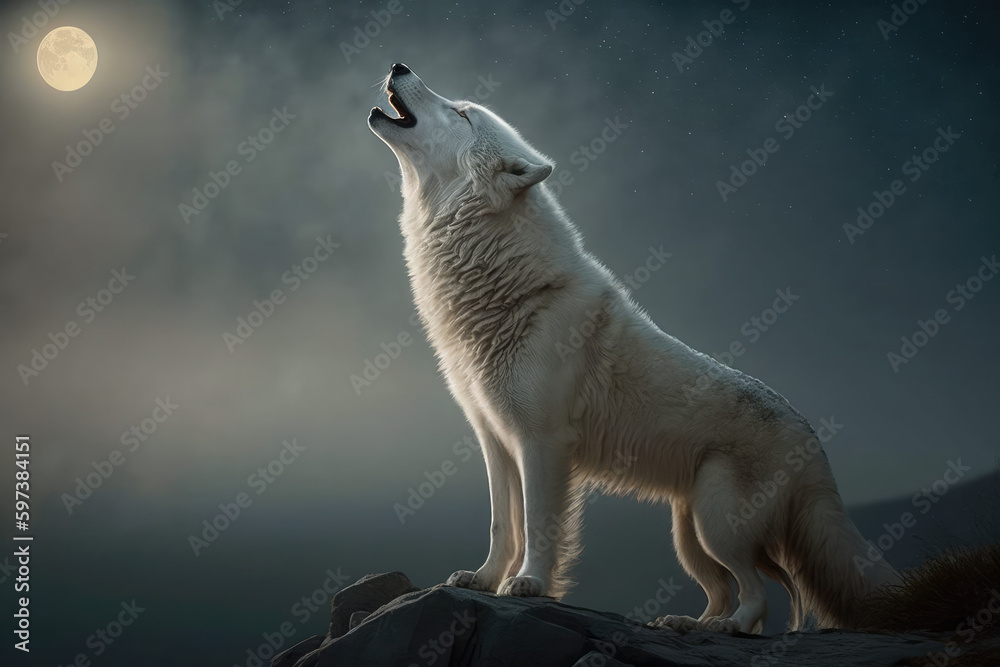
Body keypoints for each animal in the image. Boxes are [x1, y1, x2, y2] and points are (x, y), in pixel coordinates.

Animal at [368, 63, 898, 634]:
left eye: (462, 113)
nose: (399, 66)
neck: (513, 289)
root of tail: (815, 442)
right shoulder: (494, 439)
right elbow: (501, 526)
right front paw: (485, 579)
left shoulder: (542, 443)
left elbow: (539, 527)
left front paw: (530, 583)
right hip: (689, 535)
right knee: (739, 589)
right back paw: (688, 624)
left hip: (716, 524)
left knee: (760, 594)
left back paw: (725, 628)